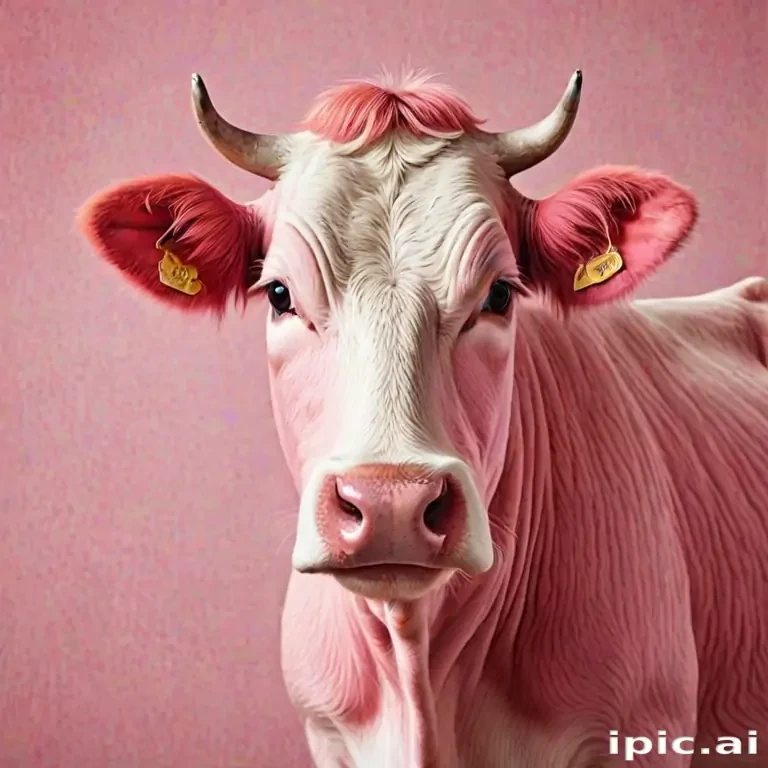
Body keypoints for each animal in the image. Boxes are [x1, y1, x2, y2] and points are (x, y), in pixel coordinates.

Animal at [77, 70, 768, 767]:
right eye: (279, 294)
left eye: (500, 293)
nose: (390, 504)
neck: (420, 680)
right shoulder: (326, 733)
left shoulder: (644, 729)